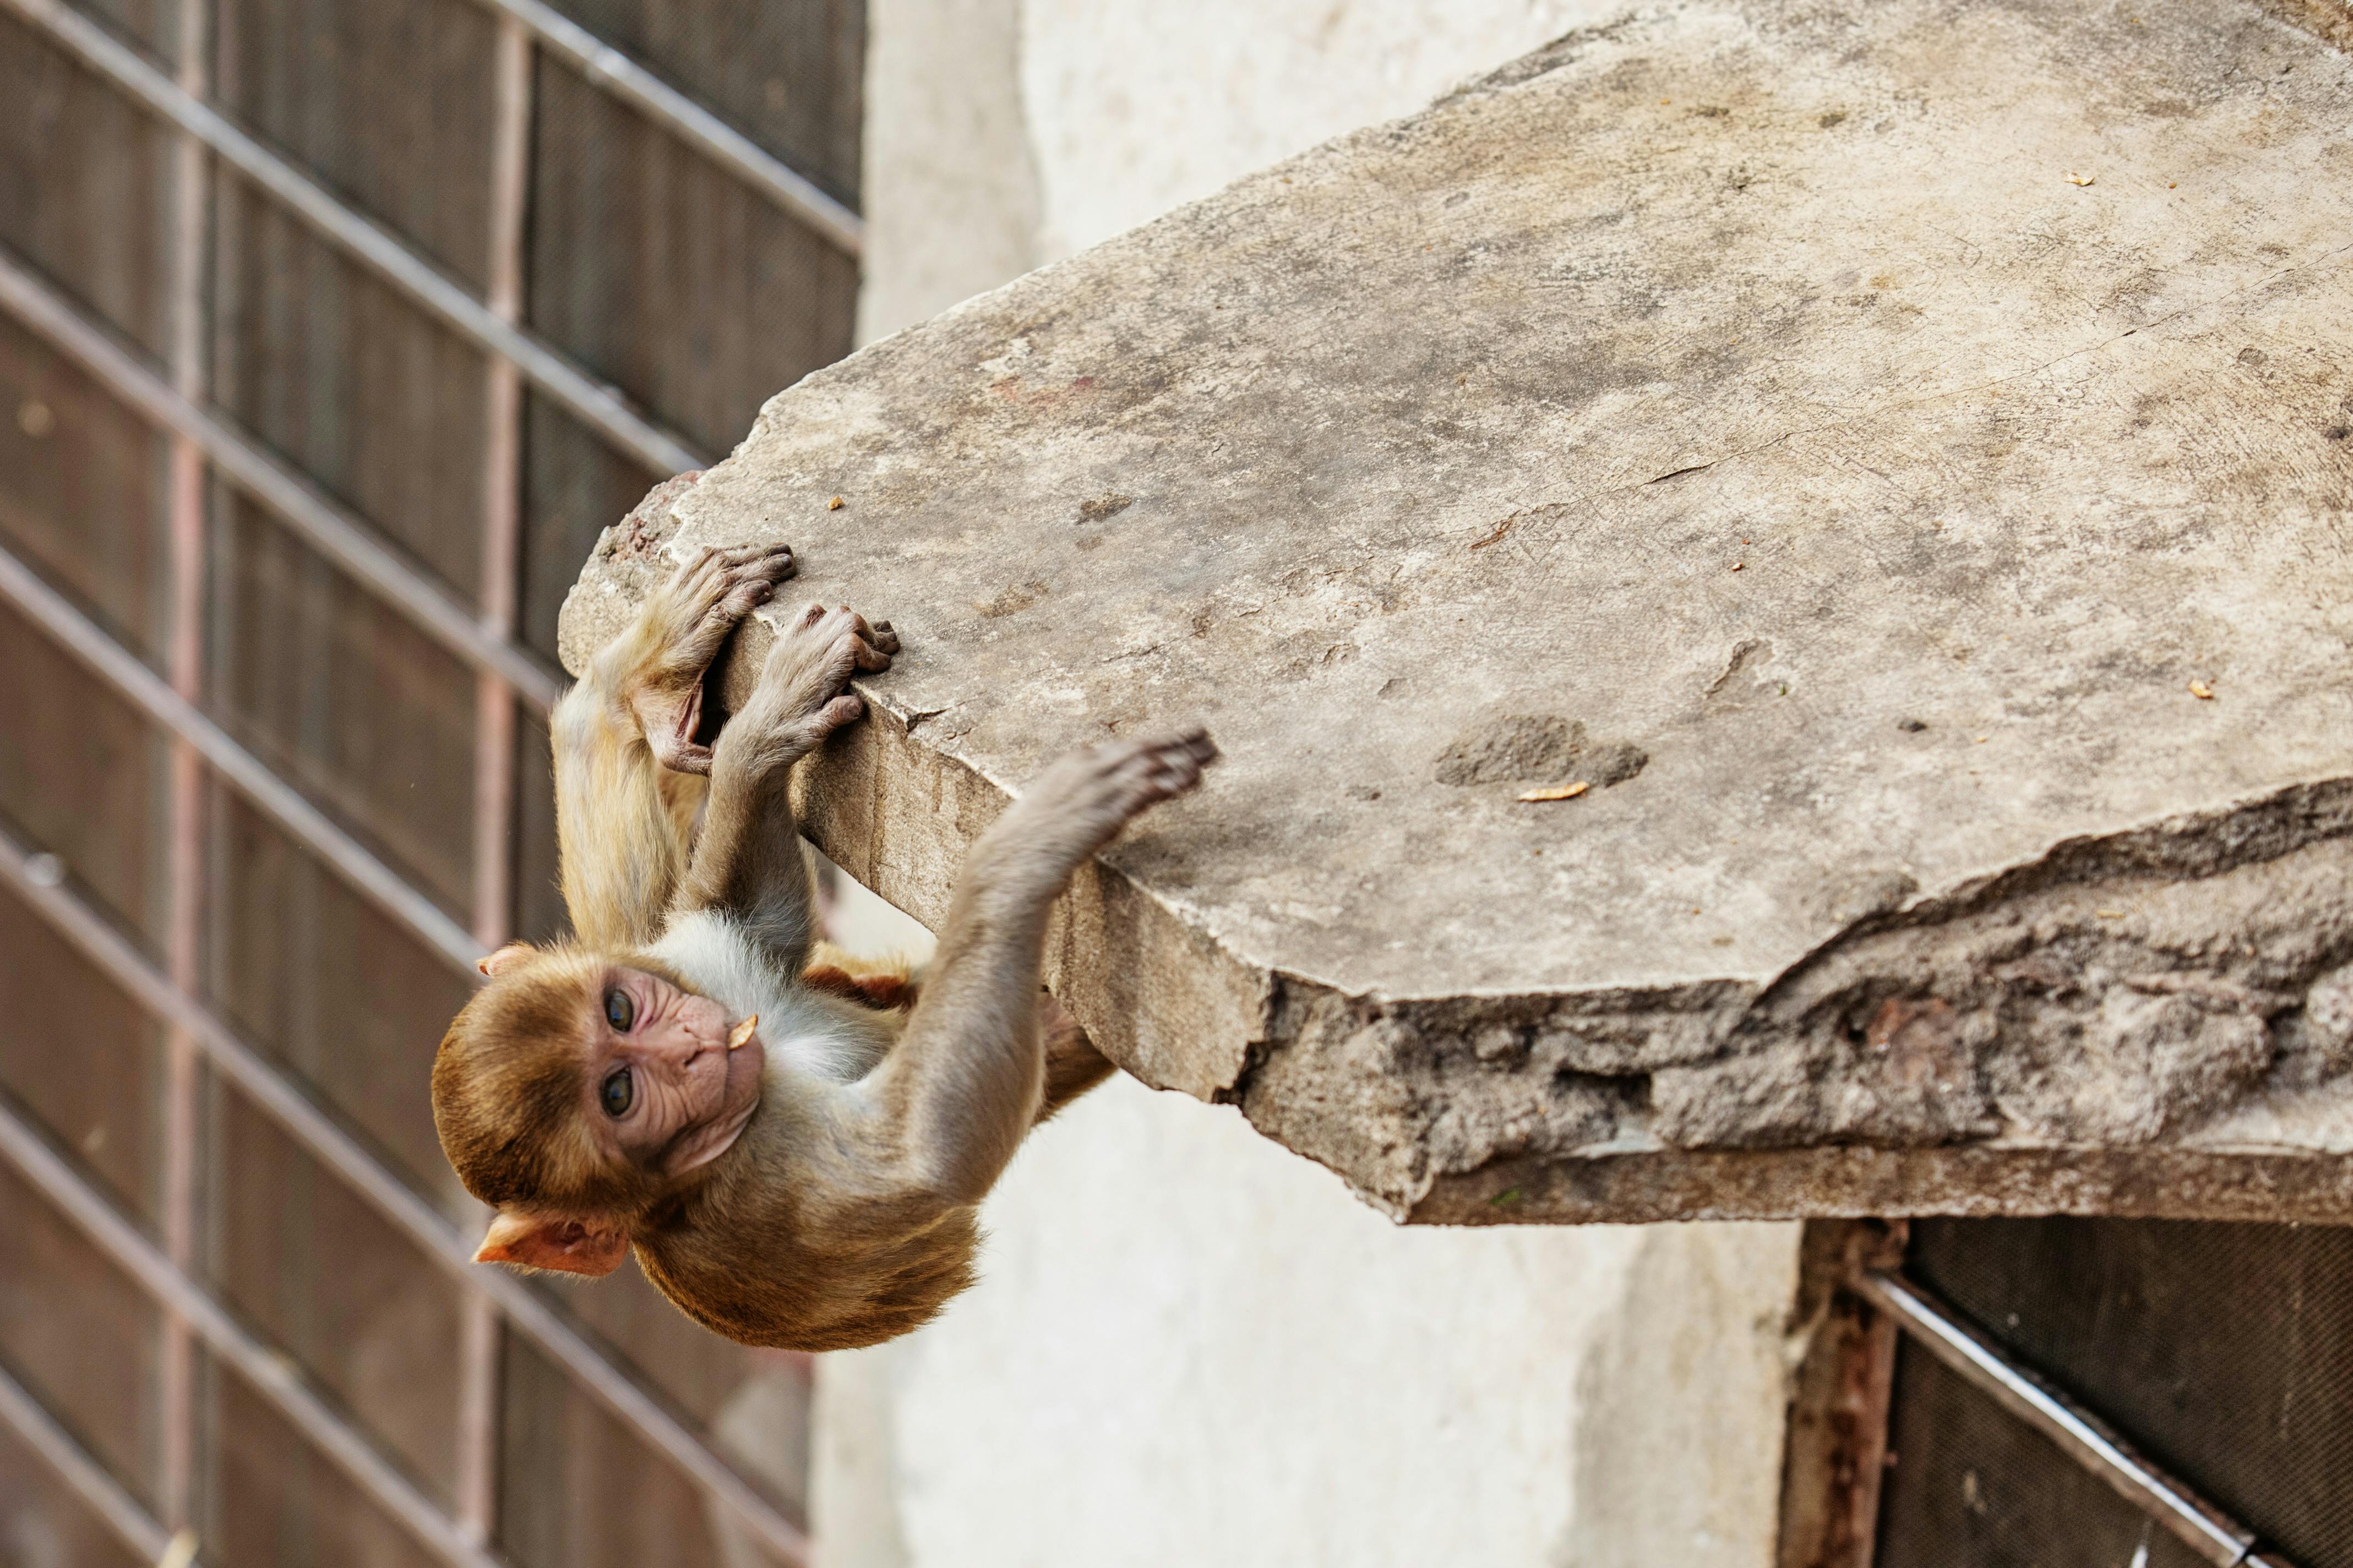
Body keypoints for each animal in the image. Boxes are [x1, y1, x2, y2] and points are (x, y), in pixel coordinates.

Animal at [431, 541, 1217, 1350]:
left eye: (620, 1011)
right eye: (619, 1094)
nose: (690, 1045)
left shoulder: (706, 966)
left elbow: (755, 917)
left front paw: (748, 728)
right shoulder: (766, 1187)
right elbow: (921, 1155)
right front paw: (1023, 850)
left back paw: (642, 686)